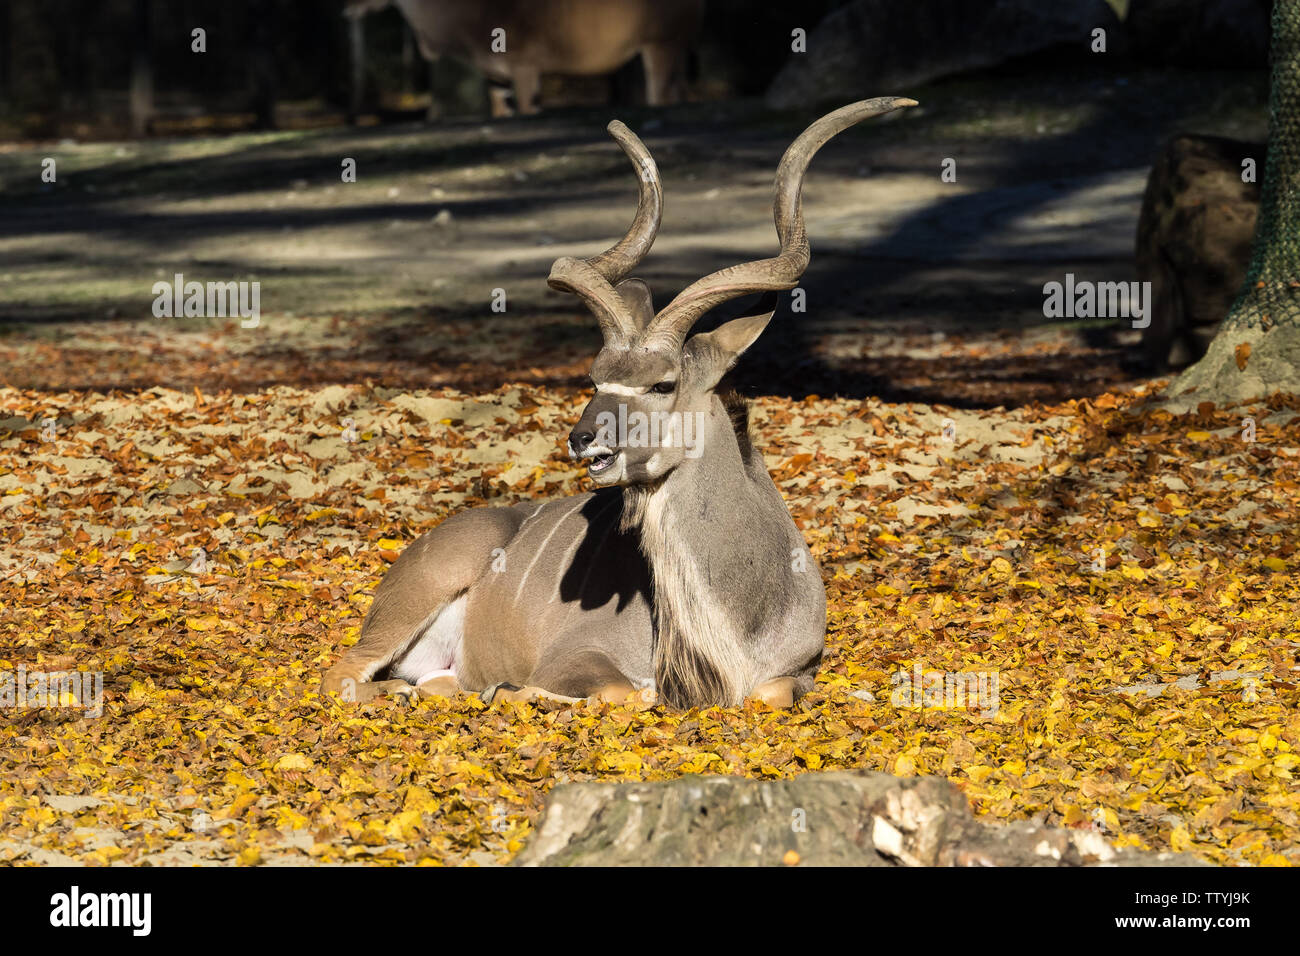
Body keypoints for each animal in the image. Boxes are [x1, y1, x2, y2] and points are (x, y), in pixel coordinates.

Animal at [321, 97, 918, 709]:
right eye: (594, 378)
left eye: (662, 384)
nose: (584, 440)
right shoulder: (578, 660)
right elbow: (627, 692)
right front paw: (512, 690)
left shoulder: (795, 672)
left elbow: (768, 693)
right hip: (417, 598)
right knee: (342, 675)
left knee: (431, 681)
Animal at [344, 0, 703, 116]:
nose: (347, 8)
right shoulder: (497, 76)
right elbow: (502, 112)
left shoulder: (525, 65)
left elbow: (529, 109)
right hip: (677, 49)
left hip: (661, 44)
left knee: (660, 96)